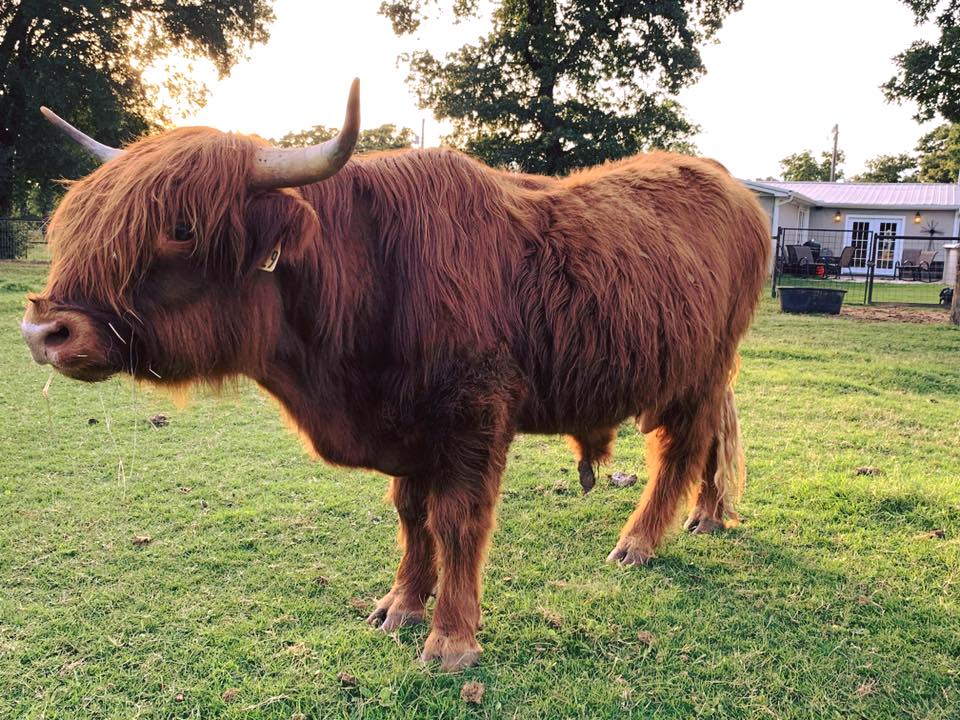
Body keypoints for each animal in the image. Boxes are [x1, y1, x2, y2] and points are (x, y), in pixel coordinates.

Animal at [22, 80, 770, 671]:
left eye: (179, 228)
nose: (44, 331)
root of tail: (728, 185)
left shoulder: (475, 413)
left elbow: (458, 519)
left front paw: (451, 640)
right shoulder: (407, 426)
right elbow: (413, 516)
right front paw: (402, 605)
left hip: (700, 371)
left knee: (680, 450)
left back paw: (639, 542)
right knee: (711, 441)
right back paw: (707, 516)